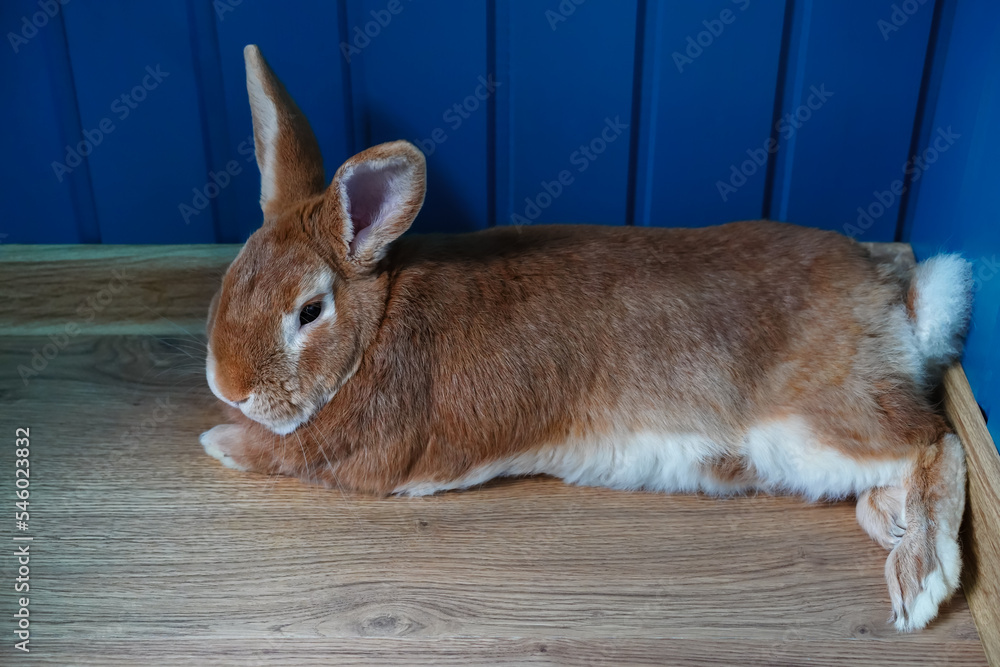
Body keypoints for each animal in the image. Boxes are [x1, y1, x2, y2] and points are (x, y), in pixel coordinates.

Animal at [201, 45, 974, 633]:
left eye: (309, 311)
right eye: (234, 274)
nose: (227, 386)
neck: (379, 320)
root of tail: (896, 305)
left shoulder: (366, 454)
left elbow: (277, 451)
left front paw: (219, 439)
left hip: (817, 421)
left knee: (936, 442)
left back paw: (921, 576)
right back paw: (889, 519)